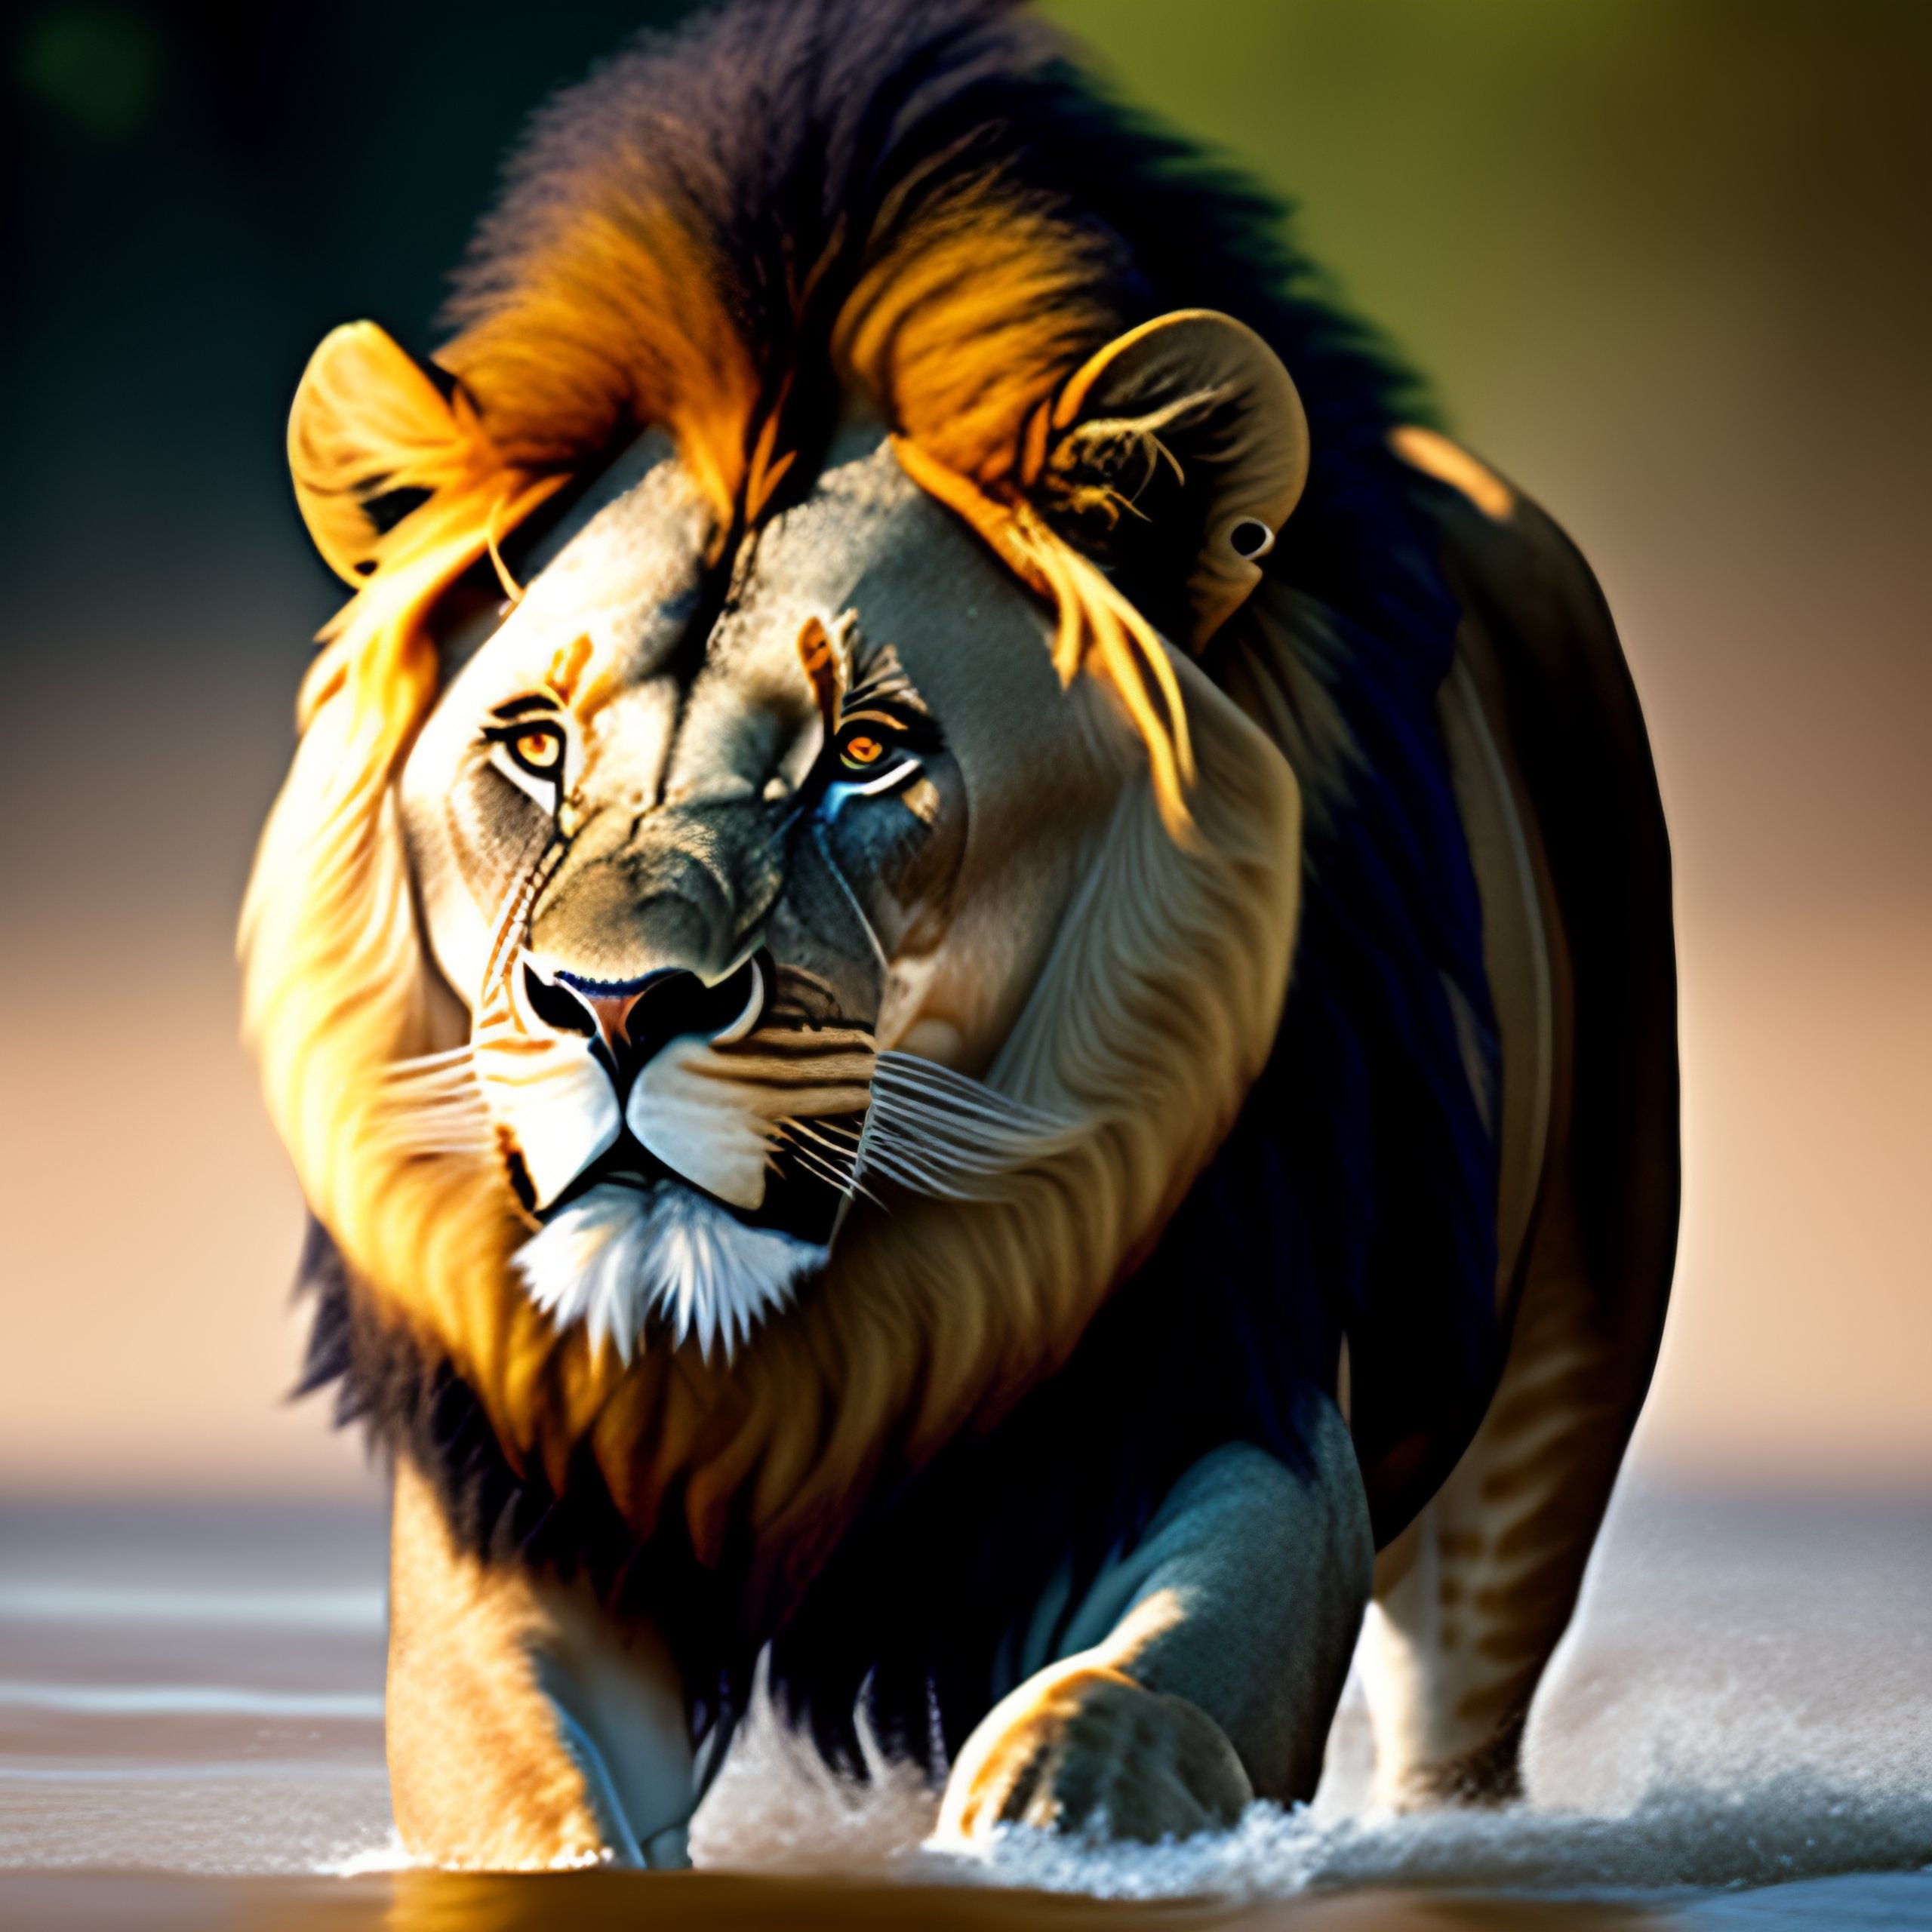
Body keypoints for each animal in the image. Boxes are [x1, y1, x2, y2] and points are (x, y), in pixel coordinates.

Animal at [243, 0, 1677, 1871]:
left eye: (865, 751)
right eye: (535, 745)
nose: (611, 1007)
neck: (818, 1338)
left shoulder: (1238, 1397)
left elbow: (1131, 1696)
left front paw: (1043, 1828)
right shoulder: (522, 1508)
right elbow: (518, 1786)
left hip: (1555, 1382)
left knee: (1463, 1714)